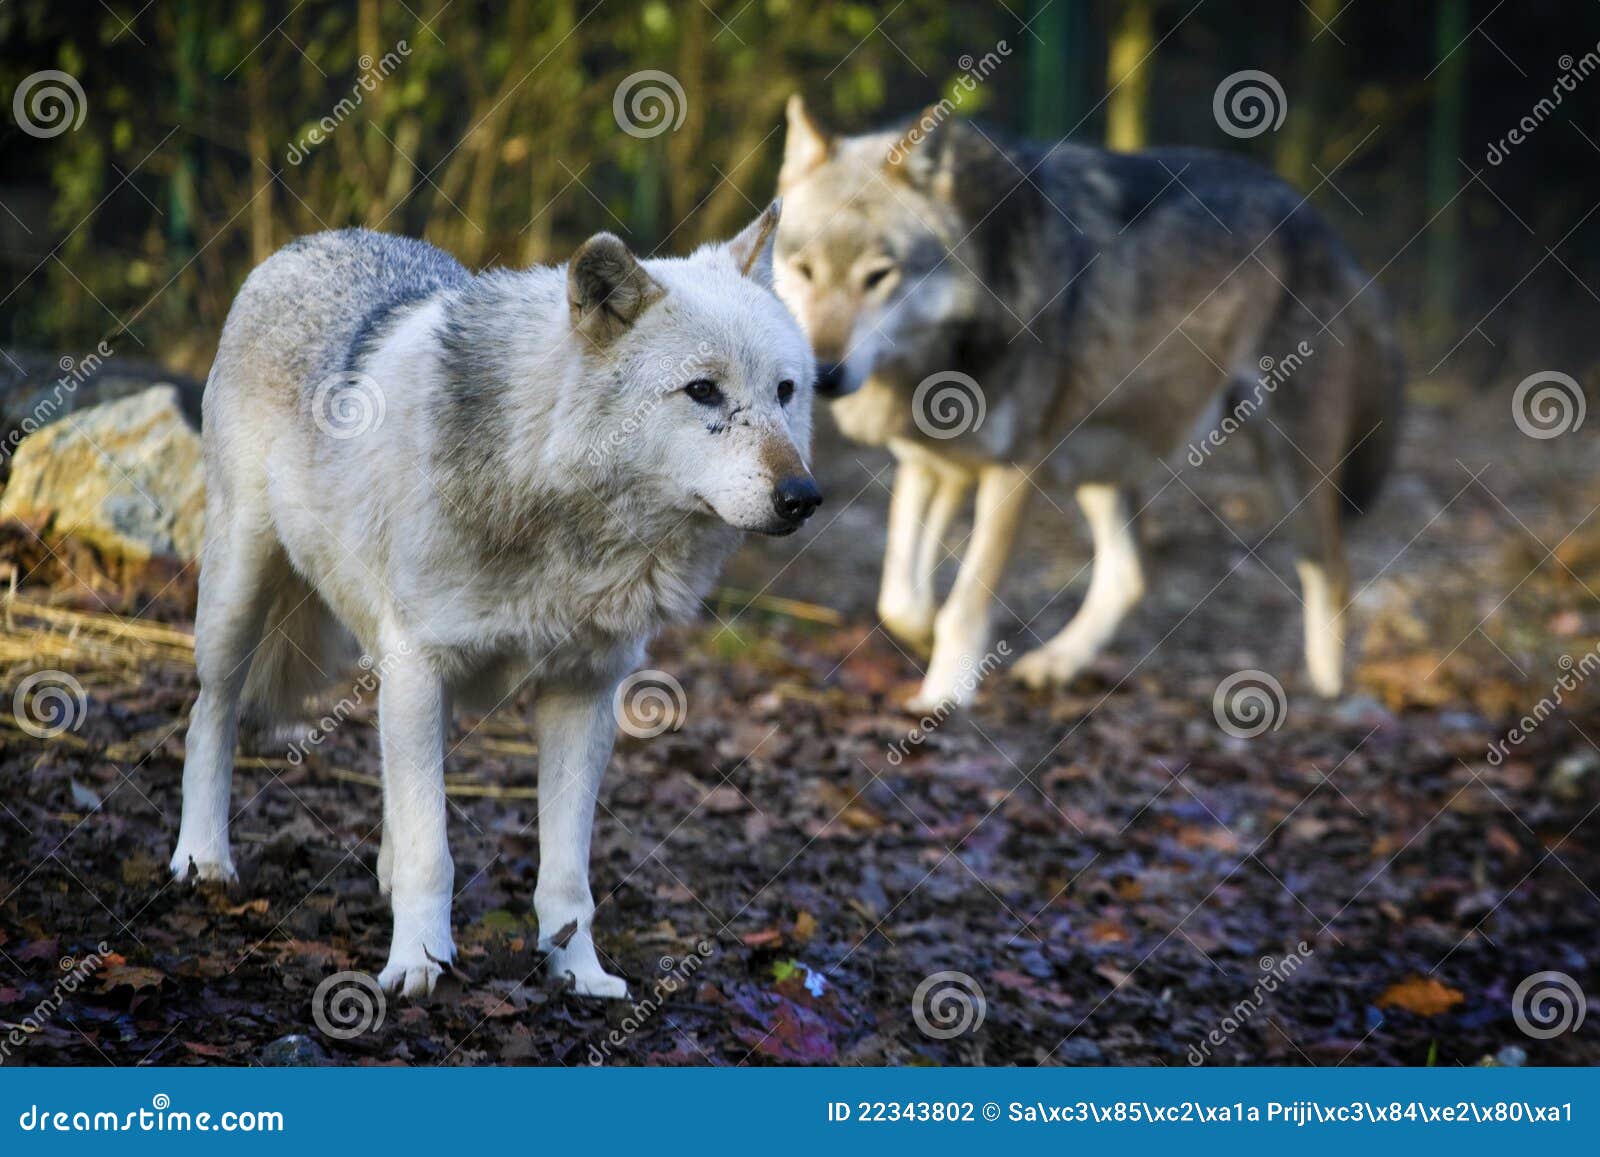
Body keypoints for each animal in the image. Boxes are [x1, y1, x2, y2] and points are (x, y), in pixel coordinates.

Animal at [168, 204, 819, 998]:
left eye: (785, 391)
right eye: (702, 391)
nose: (803, 496)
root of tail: (312, 241)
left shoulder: (582, 693)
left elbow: (566, 873)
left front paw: (578, 971)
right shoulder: (421, 665)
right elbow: (435, 853)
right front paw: (417, 963)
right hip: (240, 597)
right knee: (209, 716)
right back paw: (203, 859)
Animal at [773, 96, 1402, 712]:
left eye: (879, 275)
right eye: (804, 269)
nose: (824, 373)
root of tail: (1328, 232)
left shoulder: (1015, 468)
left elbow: (968, 601)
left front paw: (943, 695)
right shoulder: (932, 464)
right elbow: (898, 598)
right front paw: (923, 634)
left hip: (1291, 473)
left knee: (1334, 574)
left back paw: (1328, 693)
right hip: (1102, 460)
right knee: (1132, 576)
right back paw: (1055, 664)